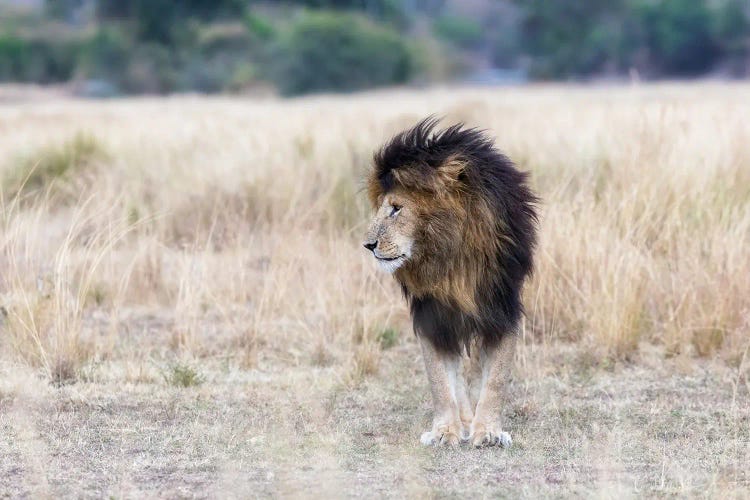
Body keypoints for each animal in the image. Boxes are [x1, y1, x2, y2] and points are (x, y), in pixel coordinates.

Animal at [363, 117, 538, 448]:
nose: (368, 245)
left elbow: (496, 378)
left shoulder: (503, 307)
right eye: (380, 207)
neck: (450, 258)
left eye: (396, 208)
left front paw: (489, 430)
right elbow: (441, 382)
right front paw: (446, 431)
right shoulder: (431, 315)